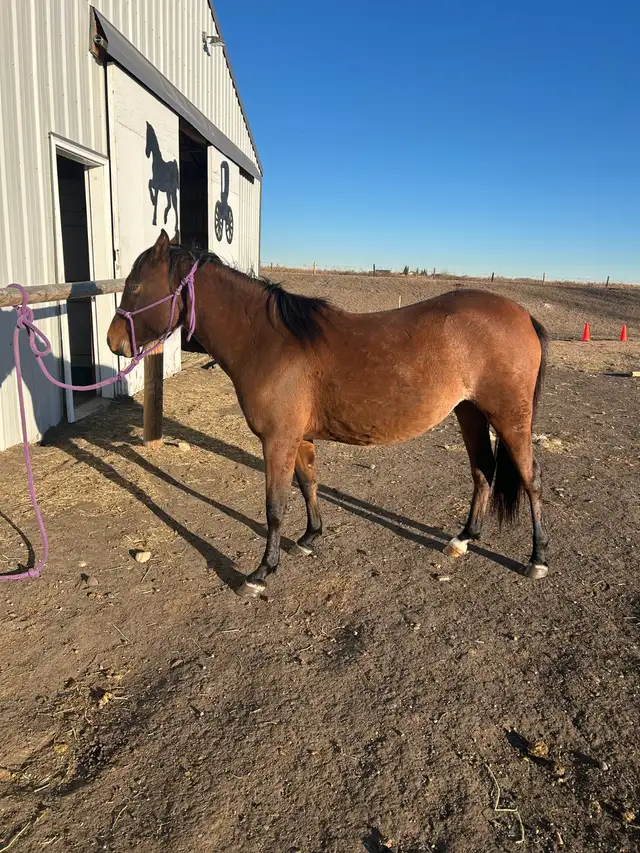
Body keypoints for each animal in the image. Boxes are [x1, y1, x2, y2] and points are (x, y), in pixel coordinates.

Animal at [107, 230, 550, 598]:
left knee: (530, 478)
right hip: (469, 413)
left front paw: (262, 572)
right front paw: (310, 537)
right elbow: (308, 485)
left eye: (136, 286)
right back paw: (464, 538)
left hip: (510, 417)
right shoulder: (298, 437)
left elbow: (274, 506)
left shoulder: (278, 440)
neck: (268, 342)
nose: (113, 341)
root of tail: (522, 315)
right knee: (482, 471)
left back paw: (538, 558)